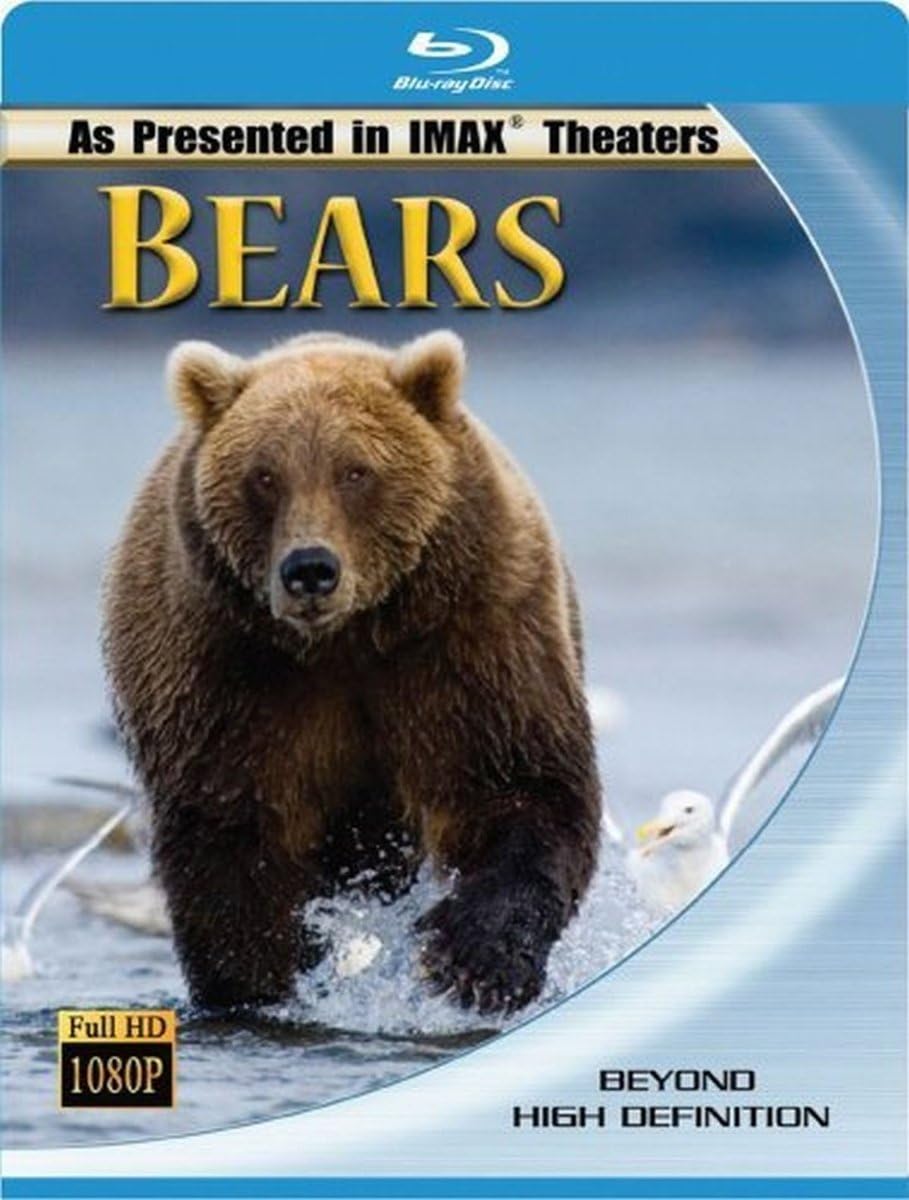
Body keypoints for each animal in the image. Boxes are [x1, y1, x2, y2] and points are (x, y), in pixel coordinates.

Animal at [103, 330, 601, 1015]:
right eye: (265, 475)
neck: (350, 637)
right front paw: (261, 983)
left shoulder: (471, 637)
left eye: (356, 471)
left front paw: (476, 962)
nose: (310, 568)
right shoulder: (223, 669)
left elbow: (517, 784)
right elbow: (234, 833)